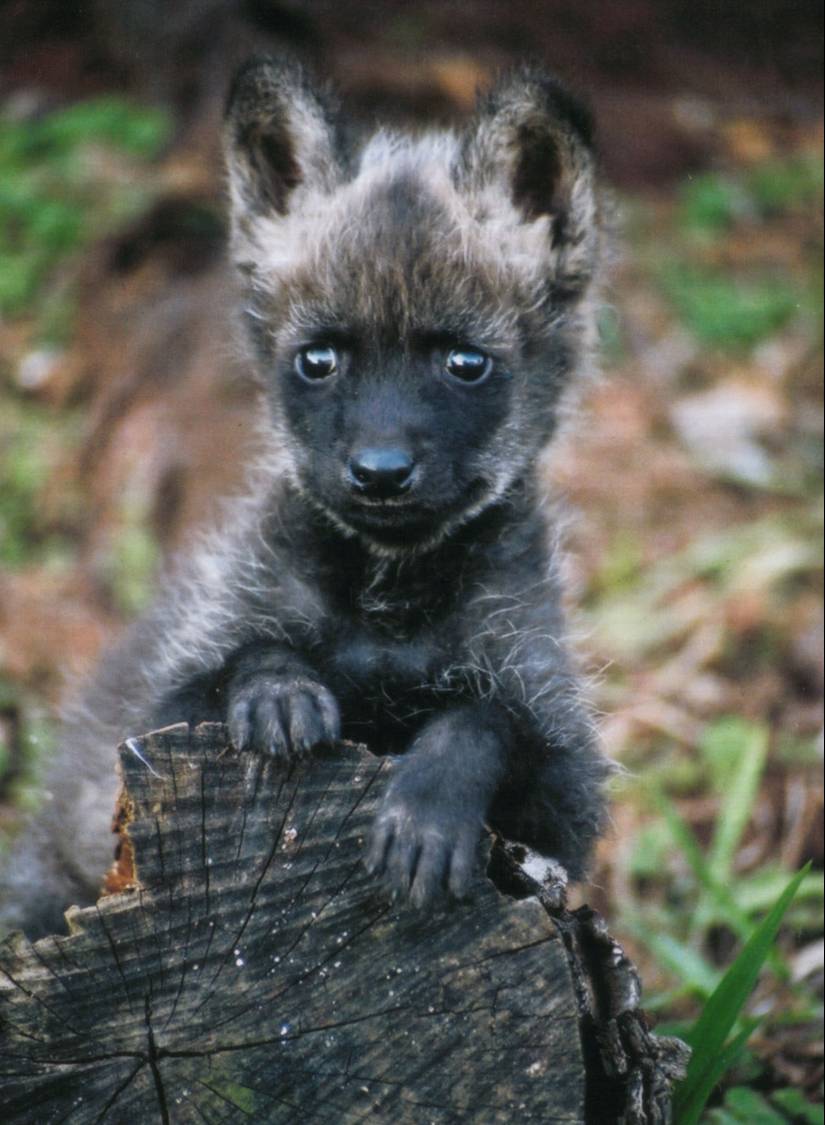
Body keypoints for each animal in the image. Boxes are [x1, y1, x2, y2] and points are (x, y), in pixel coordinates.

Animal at [1, 57, 610, 938]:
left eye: (465, 363)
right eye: (318, 359)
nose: (380, 473)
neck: (390, 601)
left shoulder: (566, 767)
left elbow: (481, 719)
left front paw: (425, 813)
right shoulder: (155, 718)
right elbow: (248, 655)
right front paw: (278, 693)